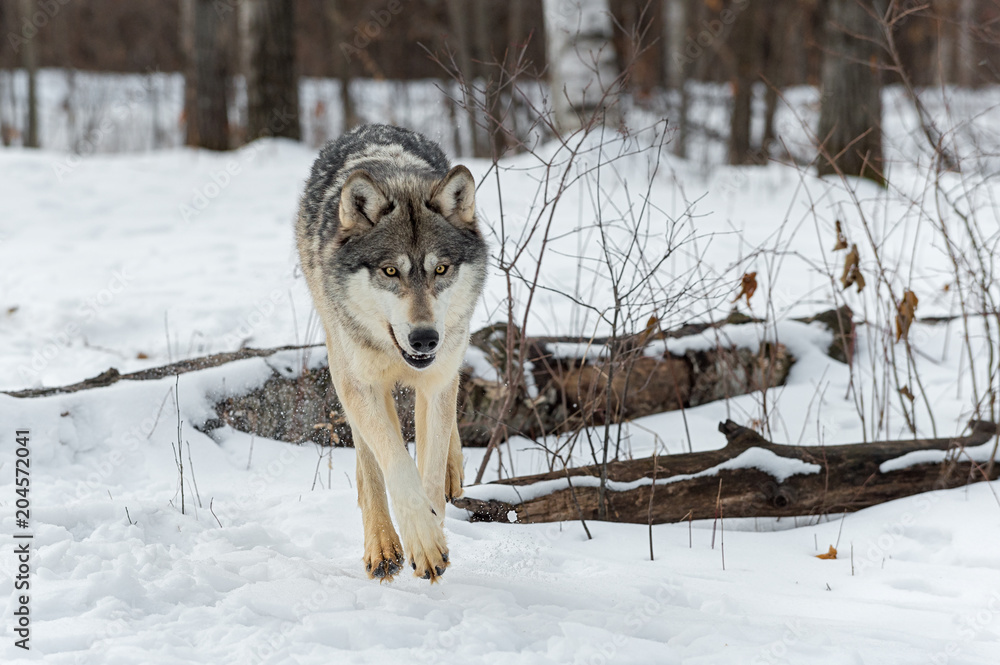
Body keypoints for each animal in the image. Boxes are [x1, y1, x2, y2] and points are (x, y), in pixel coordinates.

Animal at [296, 124, 488, 582]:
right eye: (390, 271)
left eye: (441, 269)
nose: (424, 339)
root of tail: (373, 127)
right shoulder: (361, 384)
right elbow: (396, 463)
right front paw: (418, 539)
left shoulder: (436, 379)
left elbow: (429, 471)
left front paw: (432, 536)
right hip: (342, 363)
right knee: (369, 462)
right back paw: (382, 546)